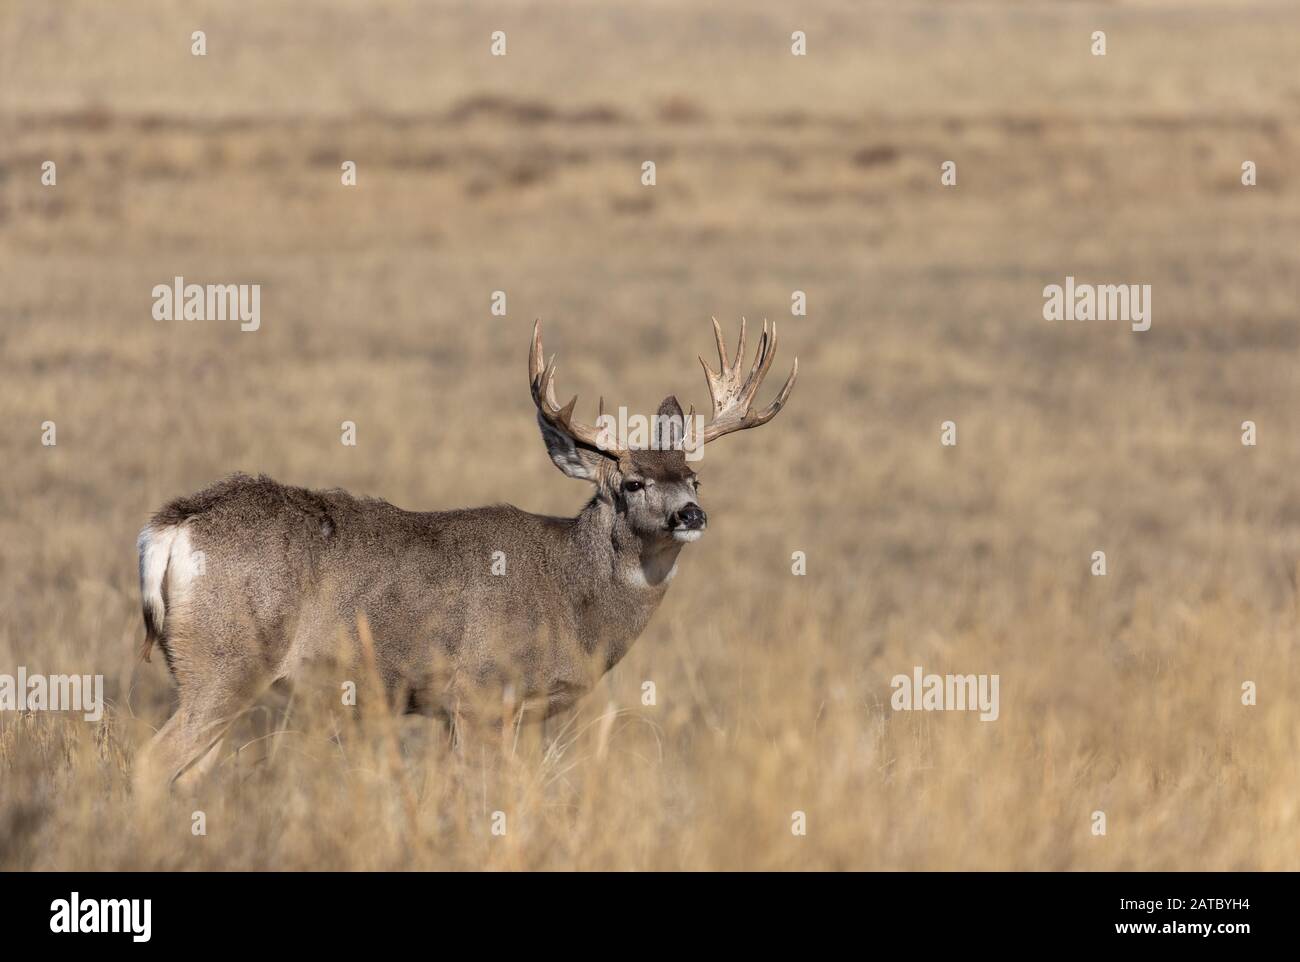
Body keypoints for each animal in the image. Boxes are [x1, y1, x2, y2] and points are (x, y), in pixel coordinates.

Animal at [132, 318, 796, 791]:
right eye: (632, 483)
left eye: (695, 478)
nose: (691, 514)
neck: (571, 596)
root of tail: (170, 528)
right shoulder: (481, 692)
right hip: (226, 661)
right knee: (149, 764)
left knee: (187, 776)